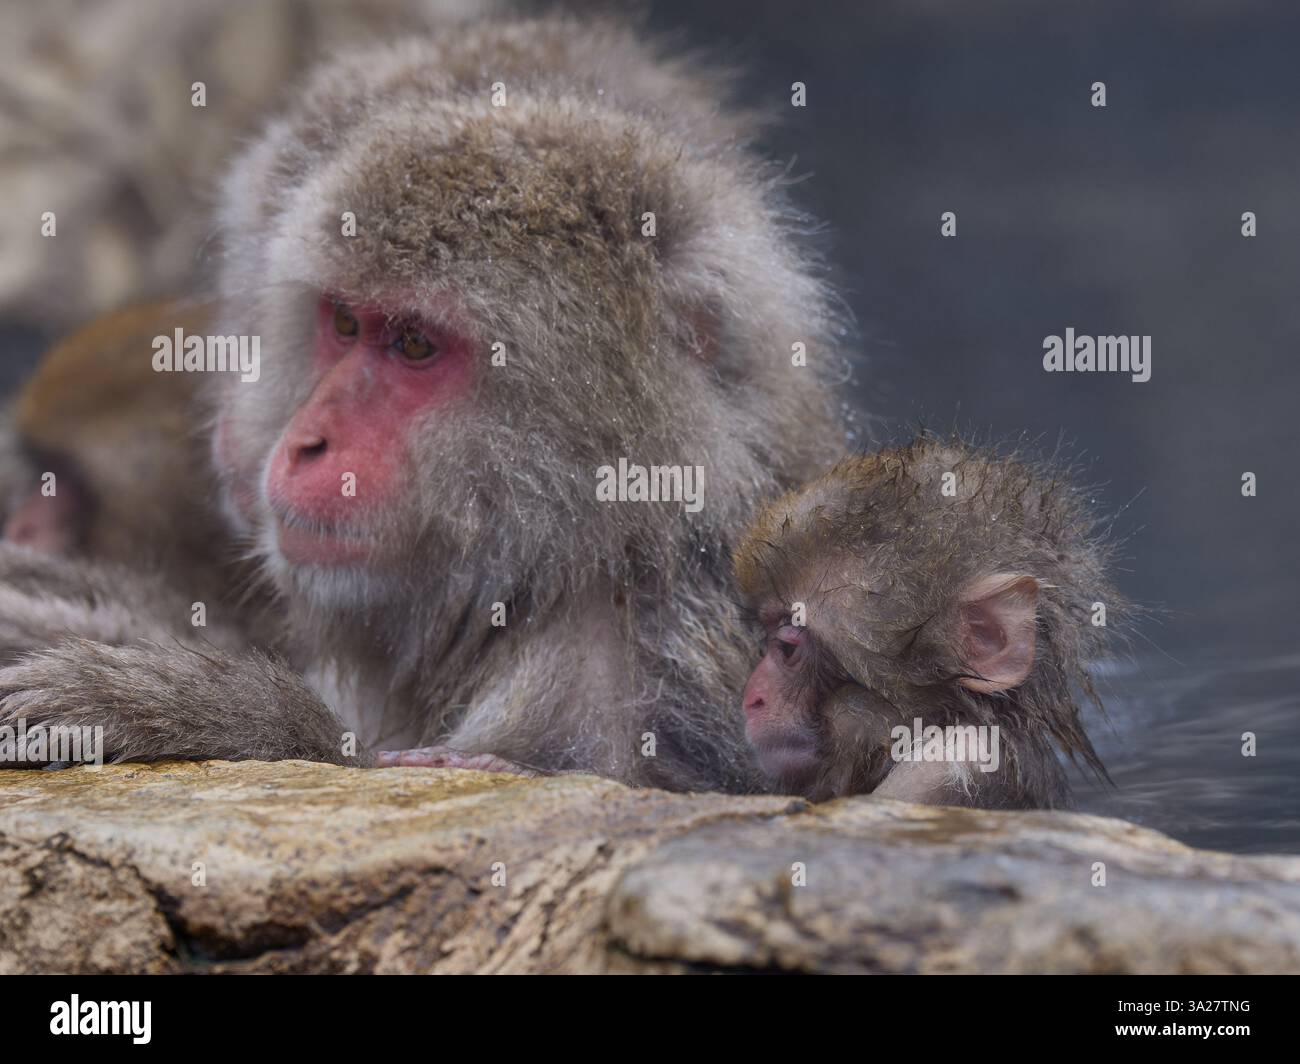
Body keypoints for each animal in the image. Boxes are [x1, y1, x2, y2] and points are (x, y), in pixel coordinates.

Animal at [0, 13, 847, 791]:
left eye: (413, 344)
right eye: (345, 324)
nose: (303, 440)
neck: (575, 564)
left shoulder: (620, 681)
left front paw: (180, 705)